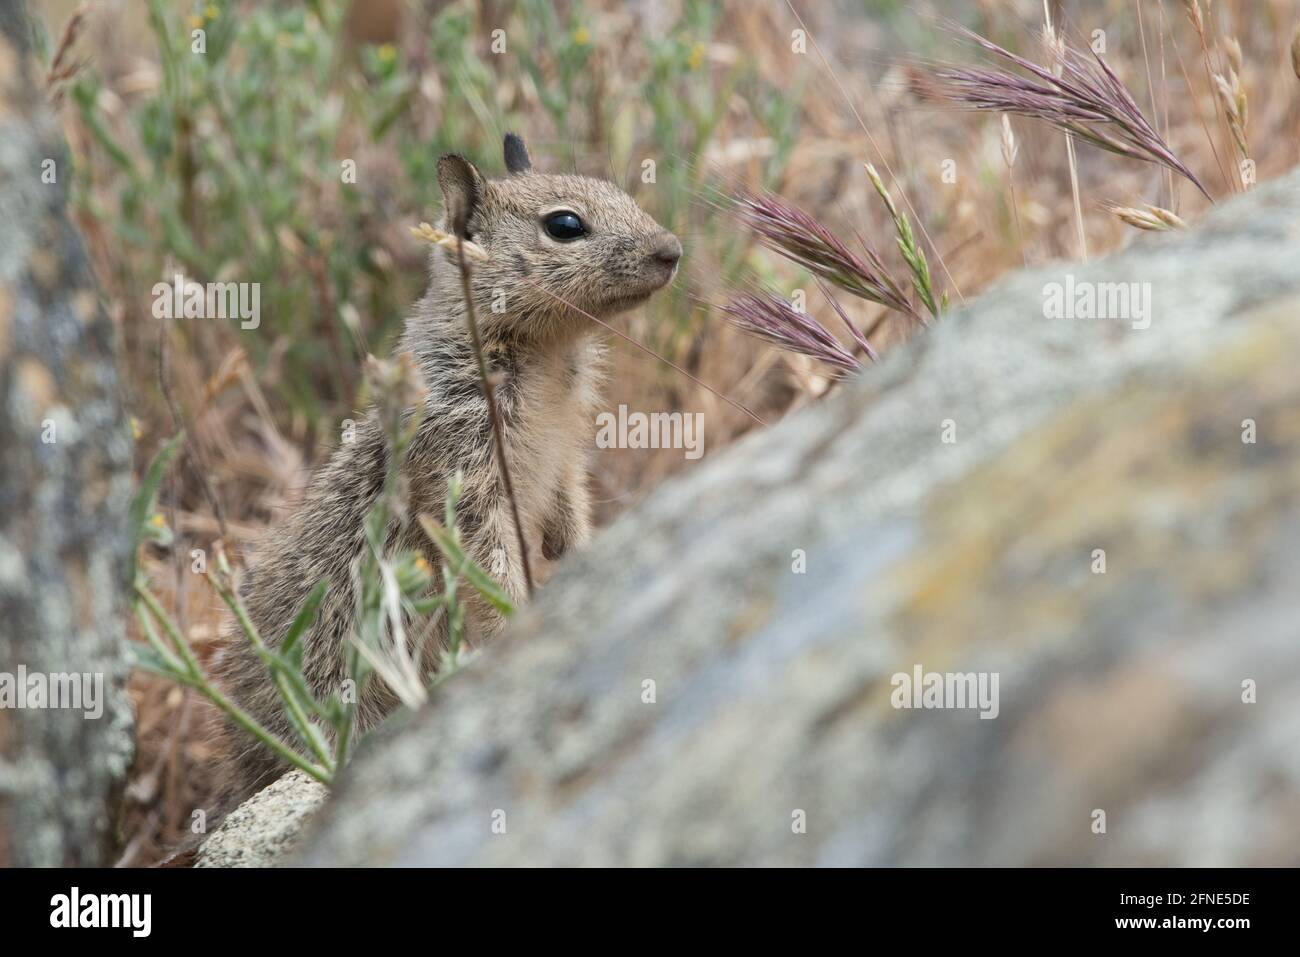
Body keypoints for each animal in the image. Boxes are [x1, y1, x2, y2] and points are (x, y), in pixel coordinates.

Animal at [212, 133, 681, 805]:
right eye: (565, 225)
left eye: (621, 193)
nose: (672, 250)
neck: (548, 354)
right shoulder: (465, 477)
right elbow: (486, 565)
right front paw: (520, 617)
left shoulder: (565, 461)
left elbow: (571, 511)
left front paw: (583, 557)